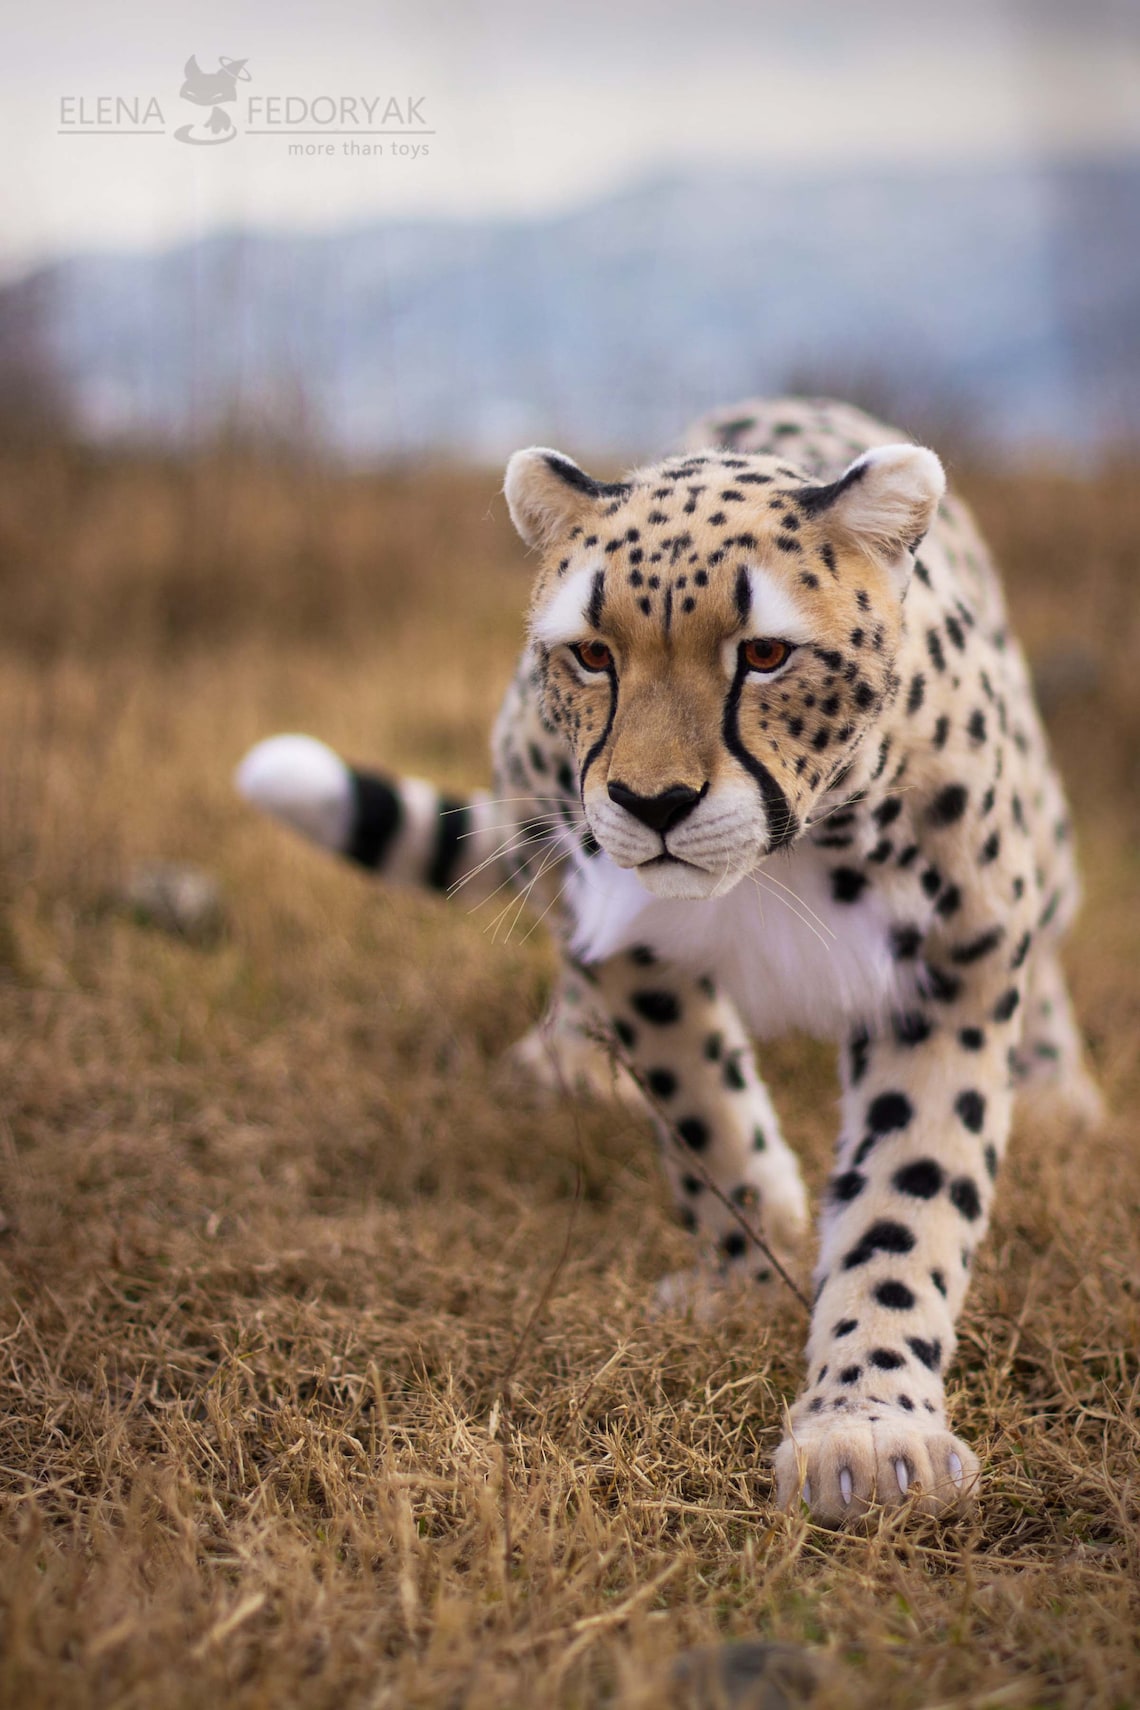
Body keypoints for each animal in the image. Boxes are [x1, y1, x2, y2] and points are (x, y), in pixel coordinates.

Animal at [236, 396, 1102, 1526]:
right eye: (592, 654)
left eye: (767, 653)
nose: (652, 803)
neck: (793, 859)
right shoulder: (625, 937)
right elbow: (706, 1116)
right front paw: (749, 1270)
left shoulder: (952, 969)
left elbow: (907, 1203)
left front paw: (868, 1433)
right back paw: (567, 1062)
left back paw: (1058, 1093)